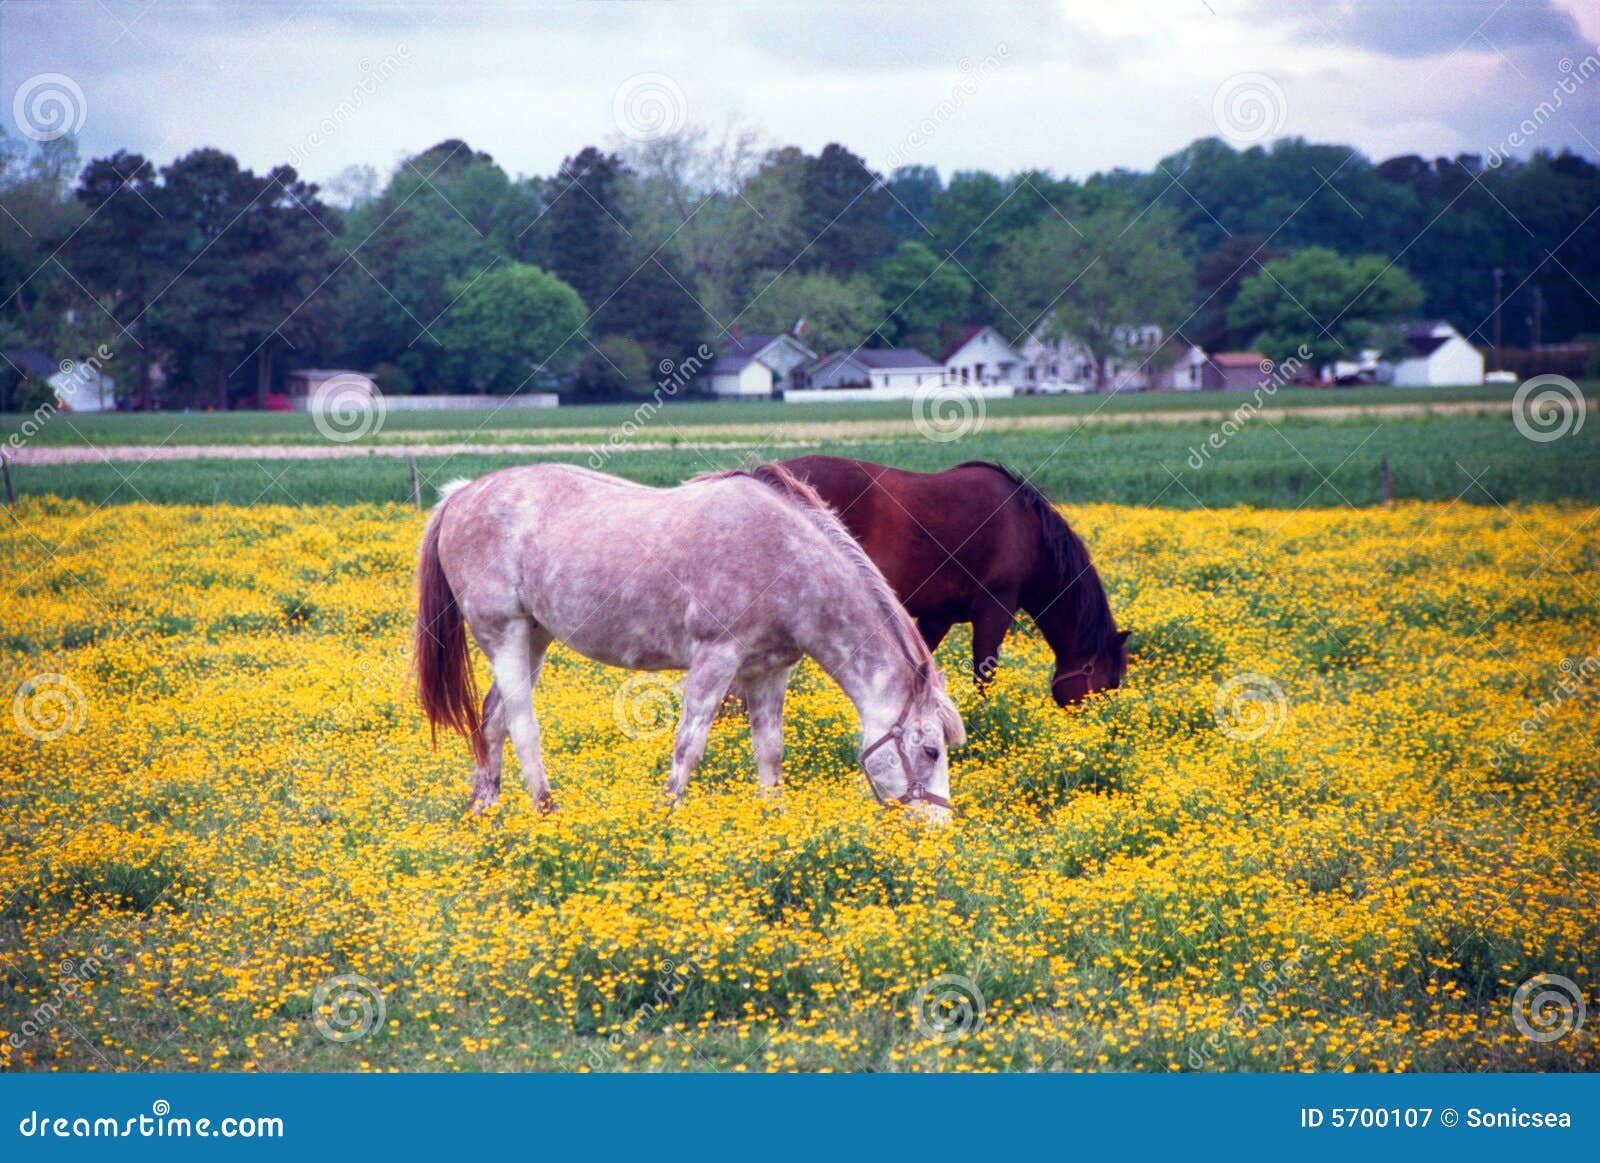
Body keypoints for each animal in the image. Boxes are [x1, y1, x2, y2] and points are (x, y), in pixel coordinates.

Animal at [414, 461, 966, 815]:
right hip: (504, 635)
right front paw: (668, 820)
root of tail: (462, 494)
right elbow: (688, 749)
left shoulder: (769, 672)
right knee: (522, 725)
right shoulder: (715, 660)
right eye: (931, 751)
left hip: (534, 637)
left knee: (492, 721)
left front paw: (776, 825)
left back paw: (485, 816)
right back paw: (547, 812)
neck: (783, 558)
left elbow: (770, 753)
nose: (937, 828)